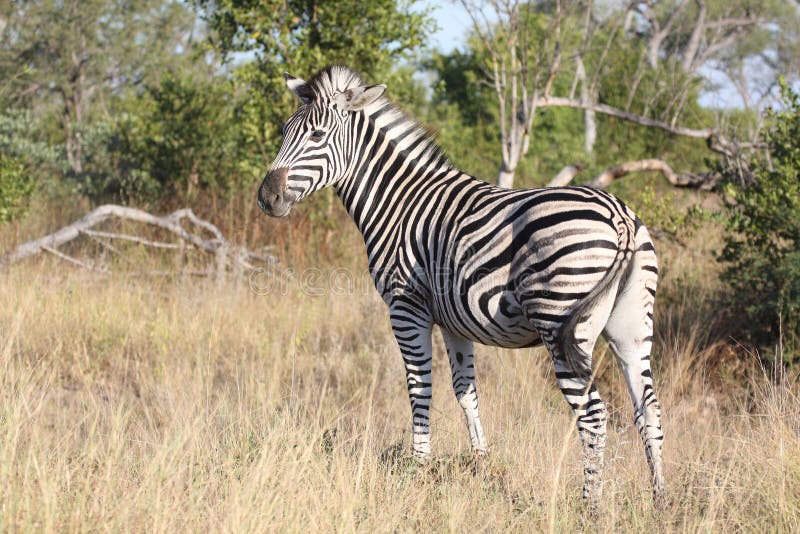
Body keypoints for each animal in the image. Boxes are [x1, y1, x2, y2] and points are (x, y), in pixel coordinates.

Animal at [257, 66, 665, 506]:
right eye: (284, 131)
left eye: (317, 136)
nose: (266, 197)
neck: (398, 202)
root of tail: (619, 216)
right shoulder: (455, 320)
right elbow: (464, 389)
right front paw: (481, 463)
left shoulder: (406, 307)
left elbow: (419, 386)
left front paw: (417, 469)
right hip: (631, 326)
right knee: (648, 409)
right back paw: (660, 498)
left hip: (561, 322)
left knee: (593, 414)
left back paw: (590, 503)